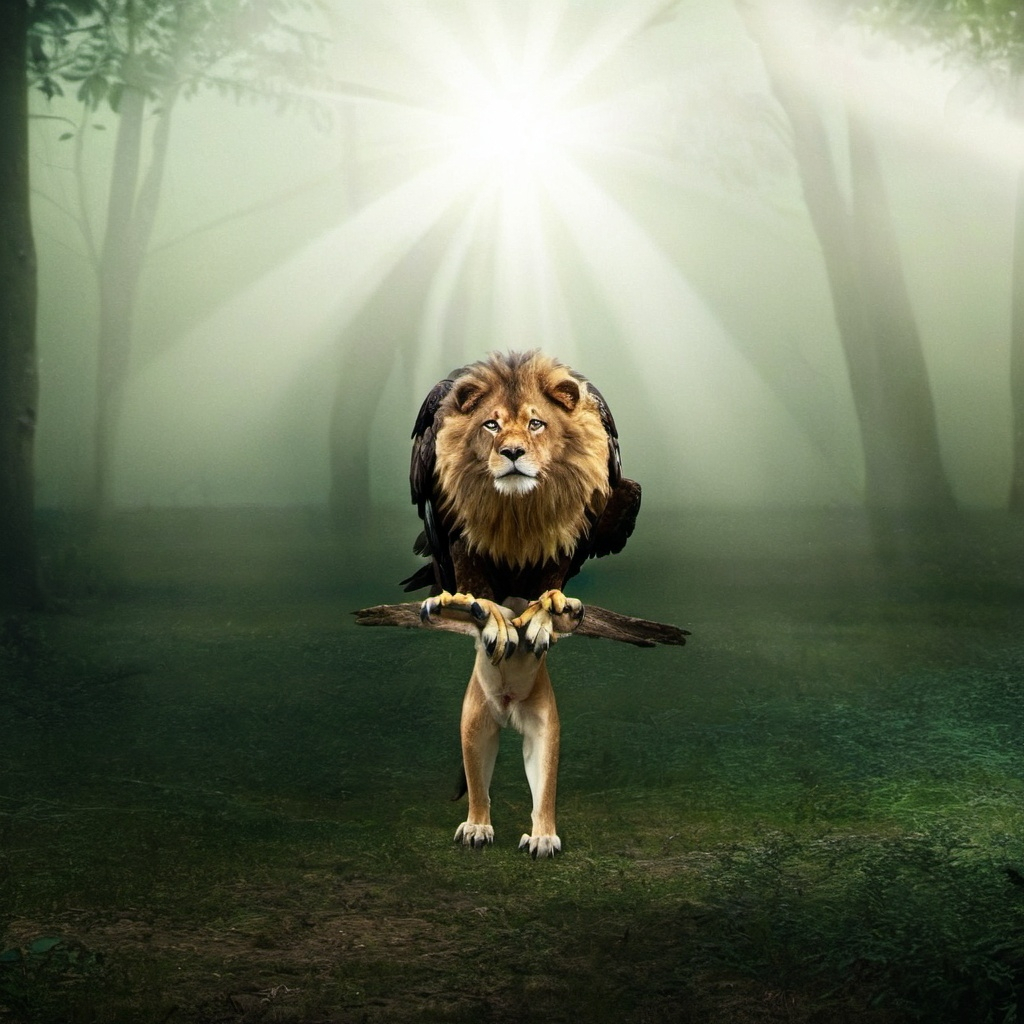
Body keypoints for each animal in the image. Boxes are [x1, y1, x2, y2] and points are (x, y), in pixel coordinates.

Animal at [402, 351, 641, 857]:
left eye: (536, 423)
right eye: (490, 425)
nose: (512, 453)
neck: (517, 507)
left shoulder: (574, 521)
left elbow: (554, 574)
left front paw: (548, 607)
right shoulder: (454, 523)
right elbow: (471, 579)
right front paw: (478, 608)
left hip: (626, 496)